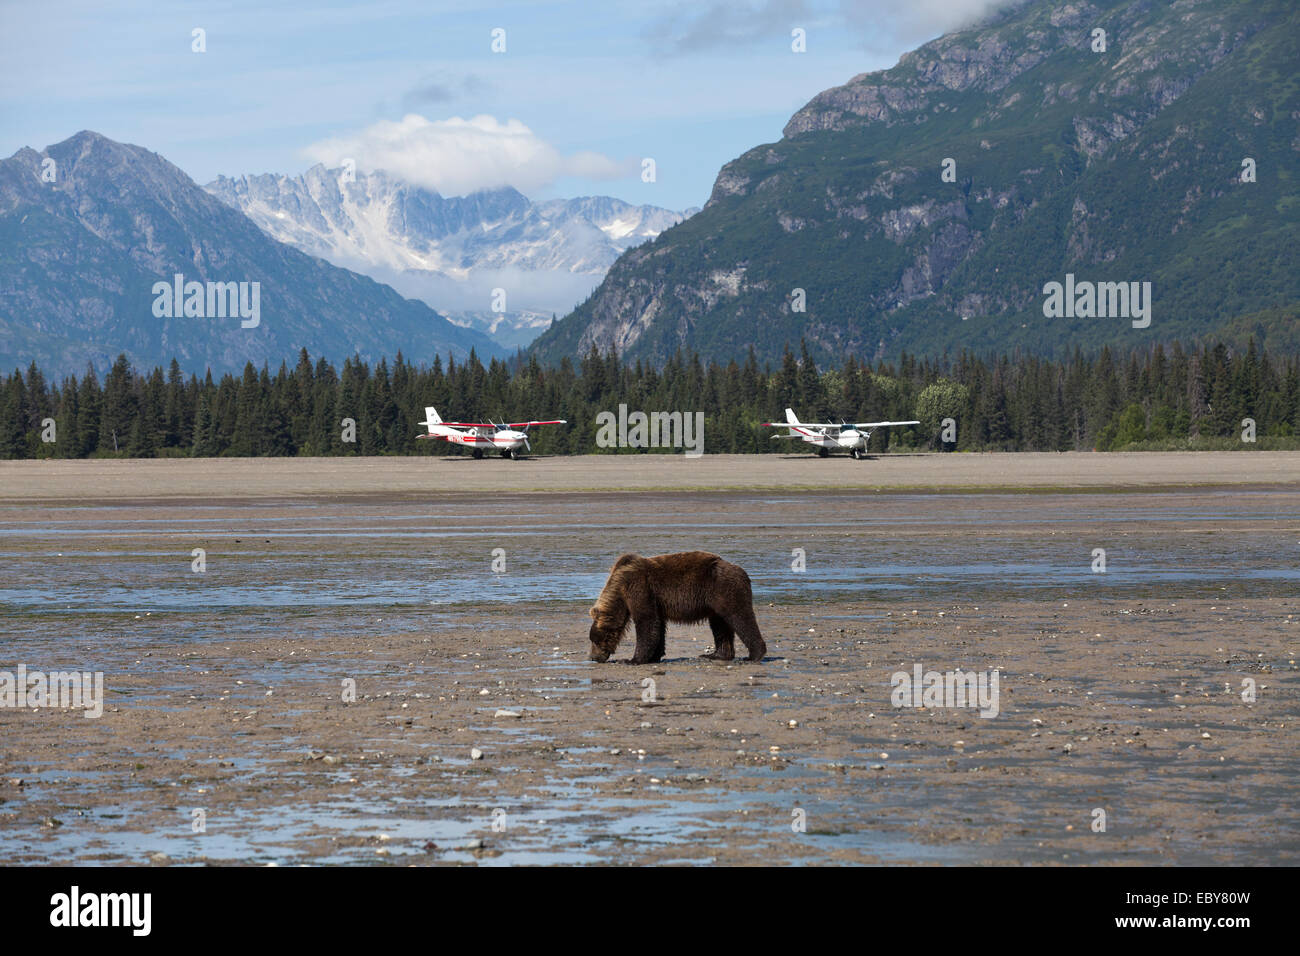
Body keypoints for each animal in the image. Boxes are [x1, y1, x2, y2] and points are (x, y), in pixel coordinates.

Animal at [588, 551, 767, 664]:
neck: (618, 587)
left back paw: (754, 655)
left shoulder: (639, 587)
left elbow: (646, 622)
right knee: (720, 625)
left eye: (595, 641)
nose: (592, 657)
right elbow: (658, 626)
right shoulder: (656, 601)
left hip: (726, 590)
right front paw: (655, 655)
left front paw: (632, 660)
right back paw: (716, 655)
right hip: (717, 603)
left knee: (741, 617)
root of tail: (743, 572)